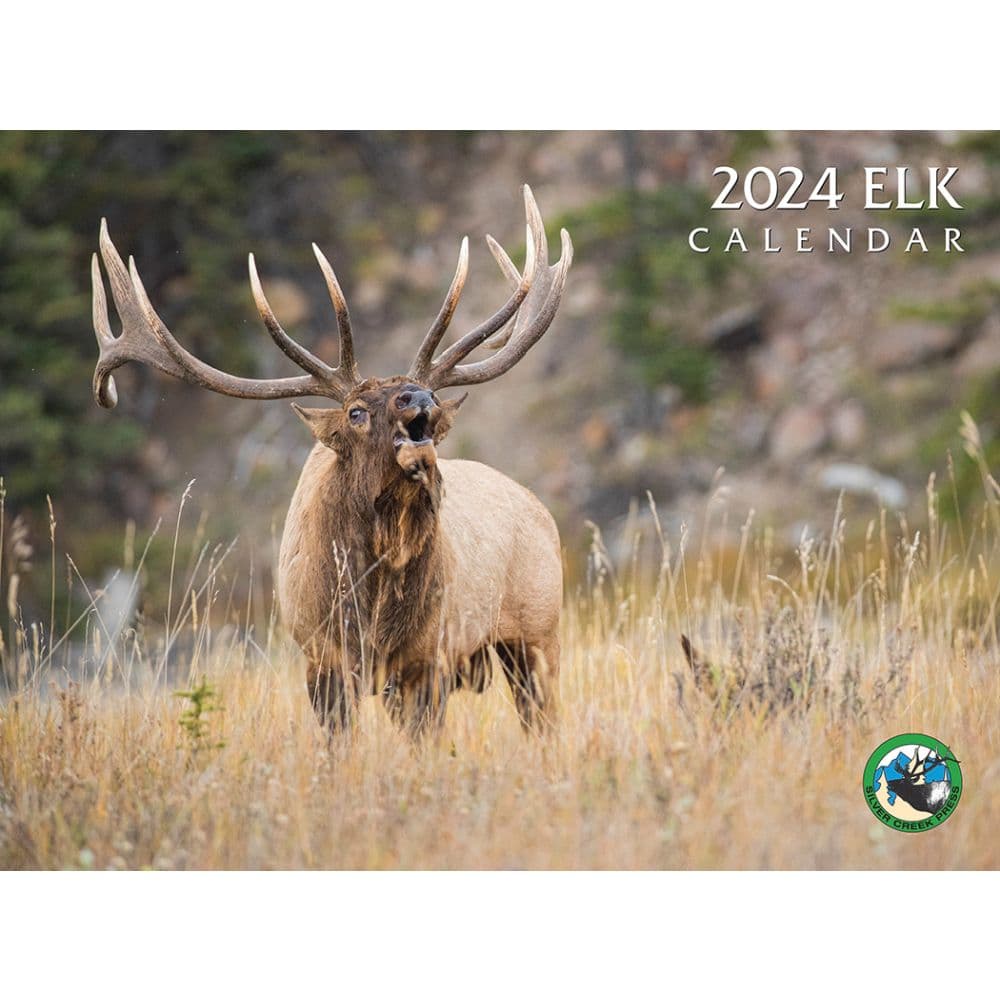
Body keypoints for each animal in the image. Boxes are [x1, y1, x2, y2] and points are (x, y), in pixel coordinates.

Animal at [89, 186, 572, 739]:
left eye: (422, 396)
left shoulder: (429, 658)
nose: (420, 397)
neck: (373, 610)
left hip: (538, 632)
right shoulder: (322, 659)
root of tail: (537, 506)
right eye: (355, 411)